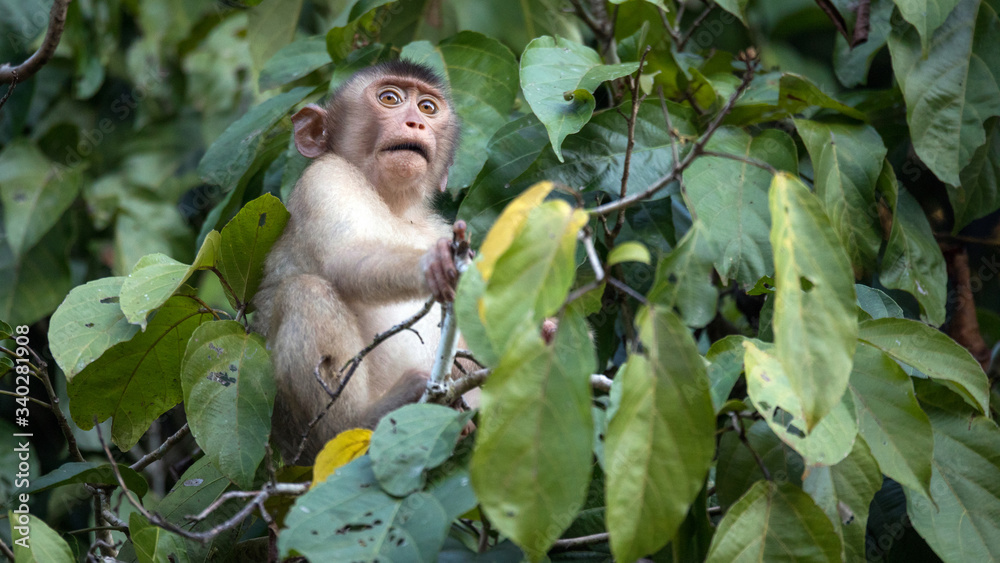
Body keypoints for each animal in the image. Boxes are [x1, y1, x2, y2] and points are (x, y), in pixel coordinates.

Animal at [252, 60, 474, 464]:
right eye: (390, 99)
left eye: (428, 107)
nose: (415, 123)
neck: (395, 205)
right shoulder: (326, 178)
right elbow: (346, 258)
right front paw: (432, 265)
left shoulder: (439, 226)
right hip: (295, 433)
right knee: (306, 290)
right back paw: (361, 420)